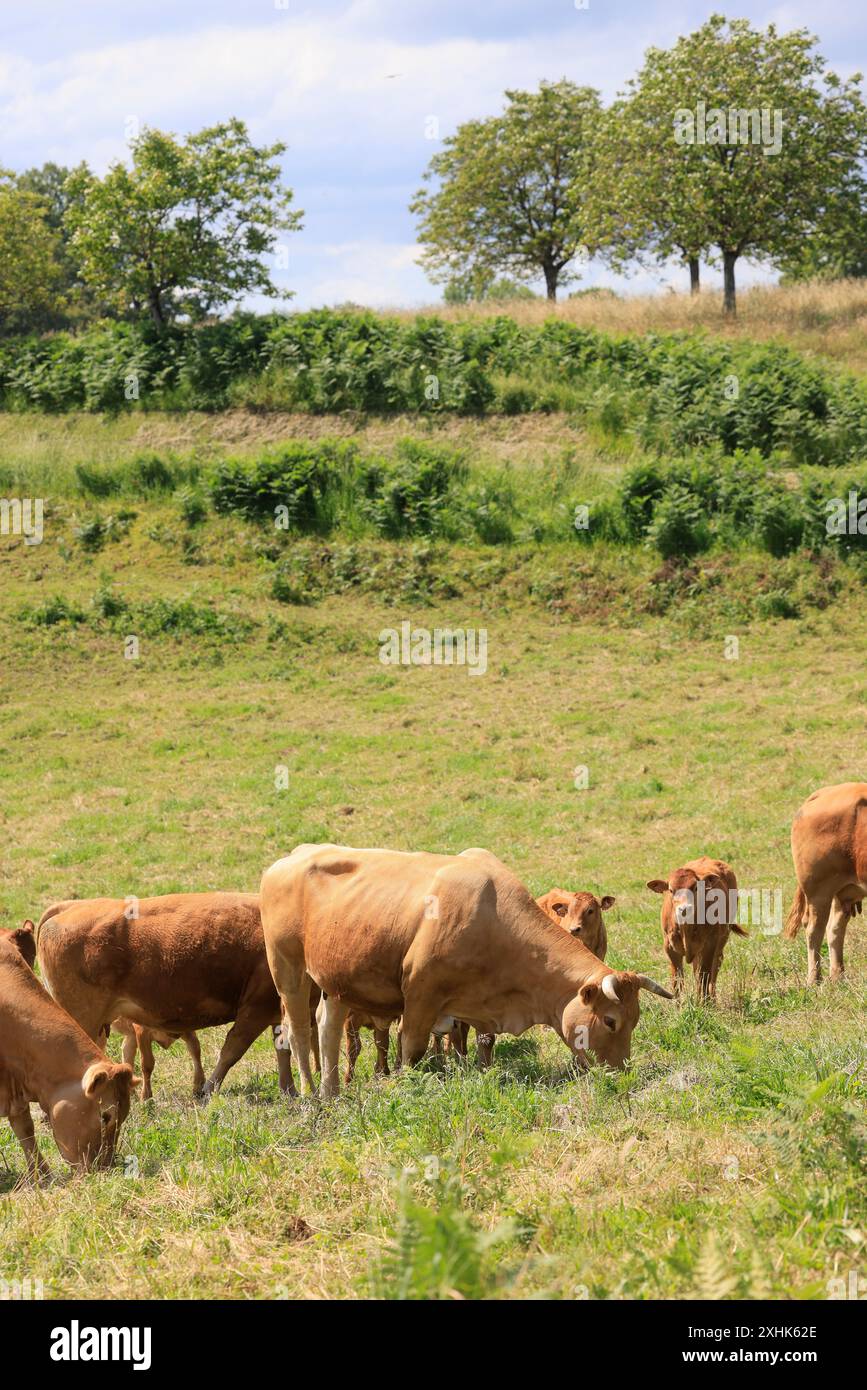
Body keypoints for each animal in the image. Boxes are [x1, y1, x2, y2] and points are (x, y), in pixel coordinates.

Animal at [35, 893, 296, 1098]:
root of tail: (68, 908)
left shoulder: (275, 1012)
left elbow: (283, 1050)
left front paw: (289, 1091)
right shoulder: (255, 1009)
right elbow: (232, 1050)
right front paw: (208, 1091)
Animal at [260, 844, 672, 1099]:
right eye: (611, 1021)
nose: (622, 1074)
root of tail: (290, 858)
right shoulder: (420, 997)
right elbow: (410, 1050)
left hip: (336, 982)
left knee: (327, 1030)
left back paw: (331, 1092)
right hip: (288, 970)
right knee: (299, 1032)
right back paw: (310, 1095)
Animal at [646, 857, 746, 999]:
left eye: (695, 887)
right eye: (671, 890)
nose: (684, 909)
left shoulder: (709, 945)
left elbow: (704, 977)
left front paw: (703, 1002)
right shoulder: (669, 947)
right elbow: (677, 981)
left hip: (722, 939)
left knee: (714, 967)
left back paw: (711, 999)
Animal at [786, 782, 867, 984]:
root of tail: (824, 792)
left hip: (845, 890)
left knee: (834, 929)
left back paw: (838, 975)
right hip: (818, 890)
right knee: (815, 929)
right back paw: (814, 979)